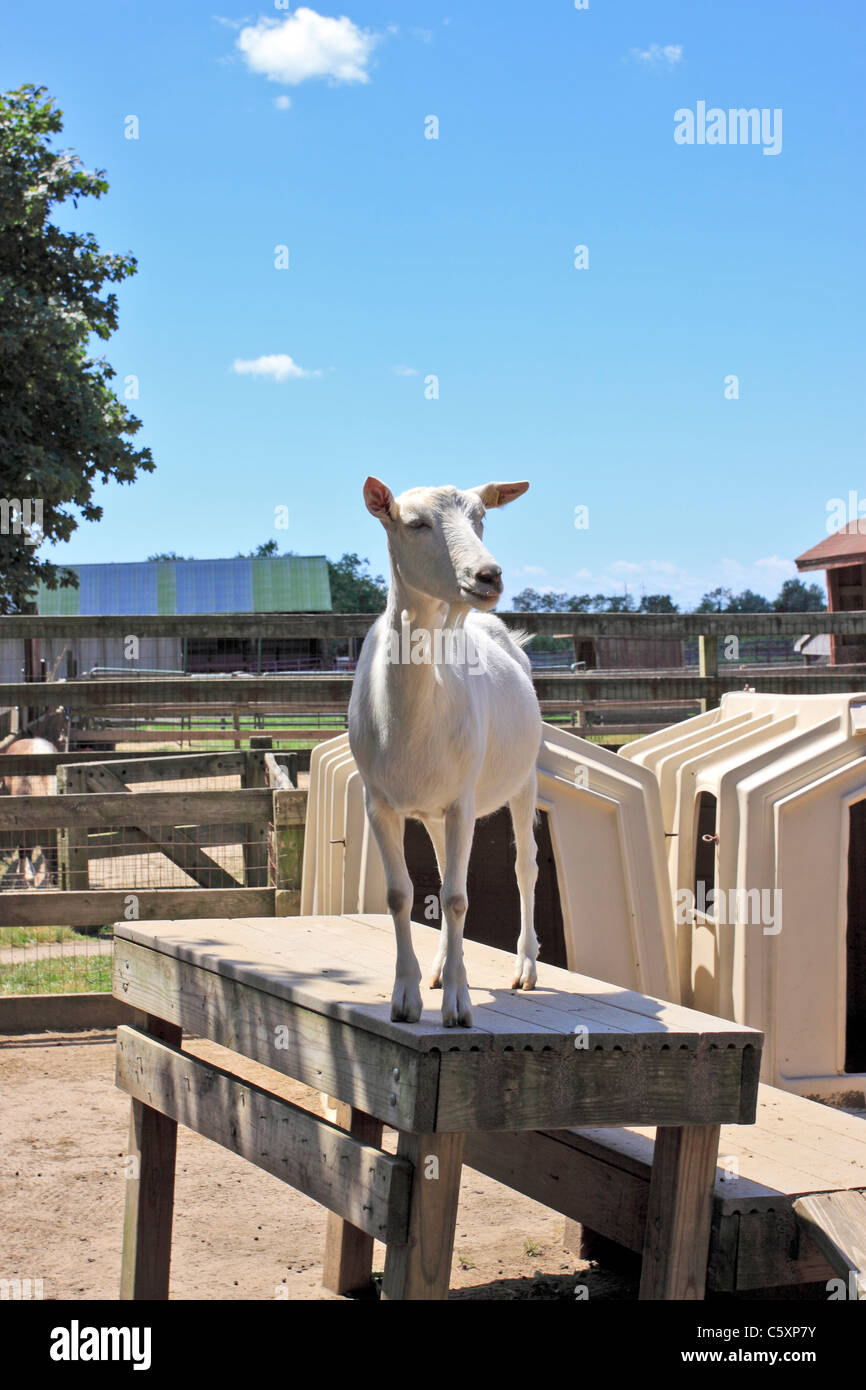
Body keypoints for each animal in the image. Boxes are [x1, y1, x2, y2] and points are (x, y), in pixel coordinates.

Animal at [347, 478, 542, 1028]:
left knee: (526, 865)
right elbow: (402, 895)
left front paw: (458, 1004)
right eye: (415, 523)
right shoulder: (378, 800)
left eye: (481, 518)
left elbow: (457, 898)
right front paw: (406, 998)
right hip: (434, 810)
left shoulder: (463, 800)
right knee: (439, 871)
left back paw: (525, 968)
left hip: (525, 777)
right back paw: (436, 969)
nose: (488, 575)